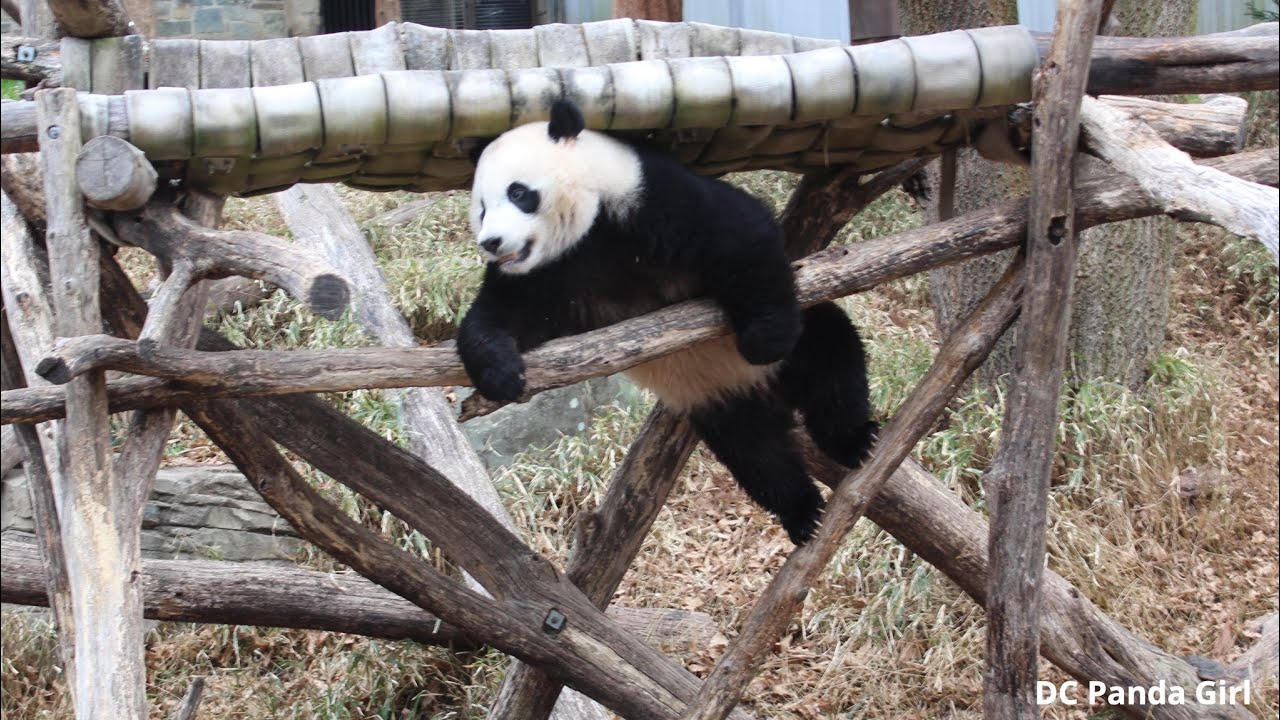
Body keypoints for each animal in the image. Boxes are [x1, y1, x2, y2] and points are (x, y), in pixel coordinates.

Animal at [457, 100, 877, 544]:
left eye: (519, 193)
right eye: (481, 208)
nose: (491, 242)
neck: (589, 232)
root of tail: (769, 392)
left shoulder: (647, 197)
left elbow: (741, 234)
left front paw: (763, 339)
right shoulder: (548, 274)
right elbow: (499, 315)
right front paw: (501, 375)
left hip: (794, 356)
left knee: (832, 360)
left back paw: (854, 441)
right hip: (720, 402)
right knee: (756, 455)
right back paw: (803, 512)